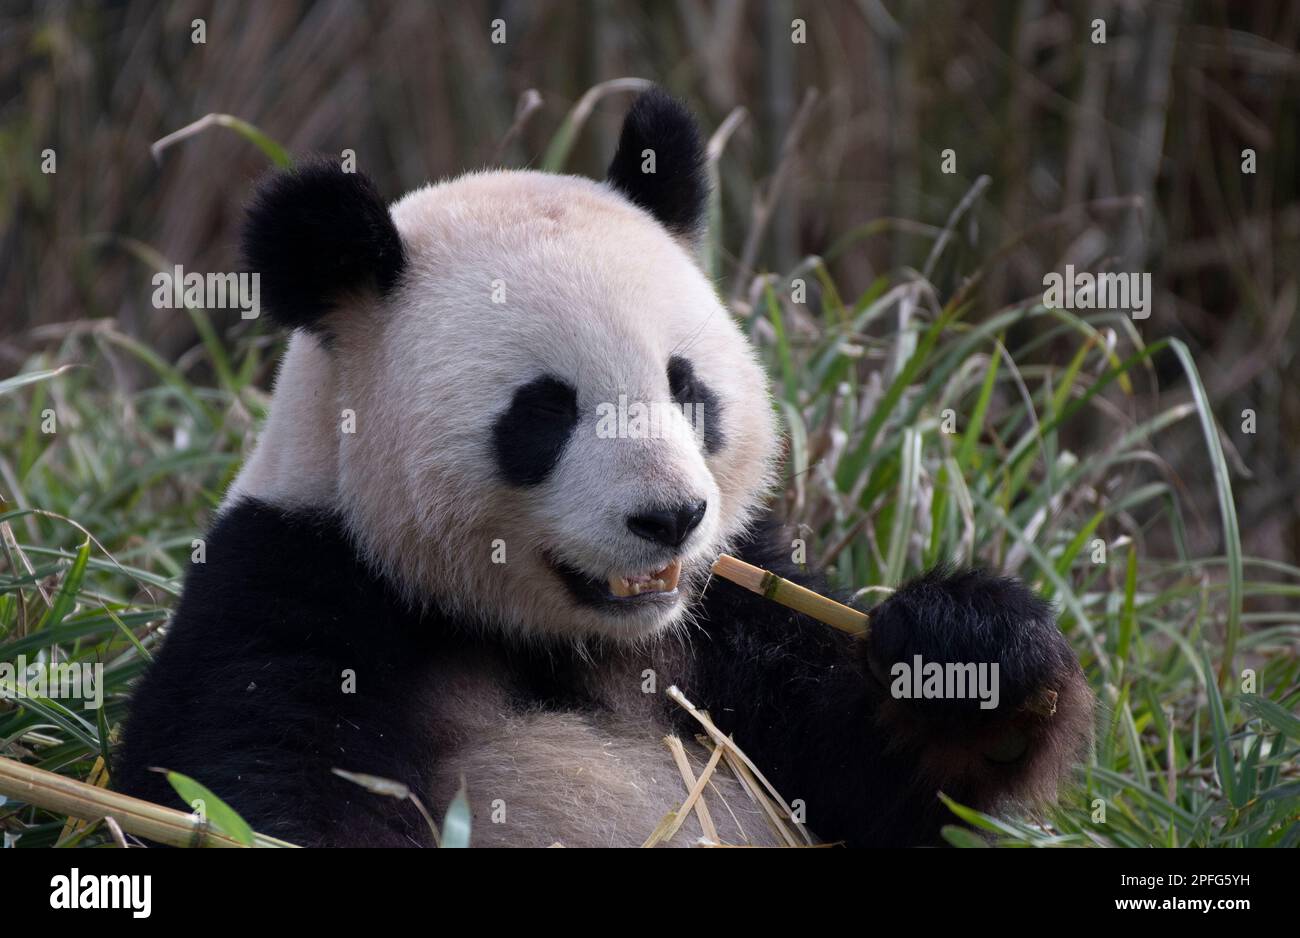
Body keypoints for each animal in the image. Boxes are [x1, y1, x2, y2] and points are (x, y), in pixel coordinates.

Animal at [116, 88, 1092, 848]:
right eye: (545, 411)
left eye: (686, 386)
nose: (671, 518)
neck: (559, 641)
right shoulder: (297, 586)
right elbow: (249, 779)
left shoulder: (726, 622)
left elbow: (881, 777)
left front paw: (970, 646)